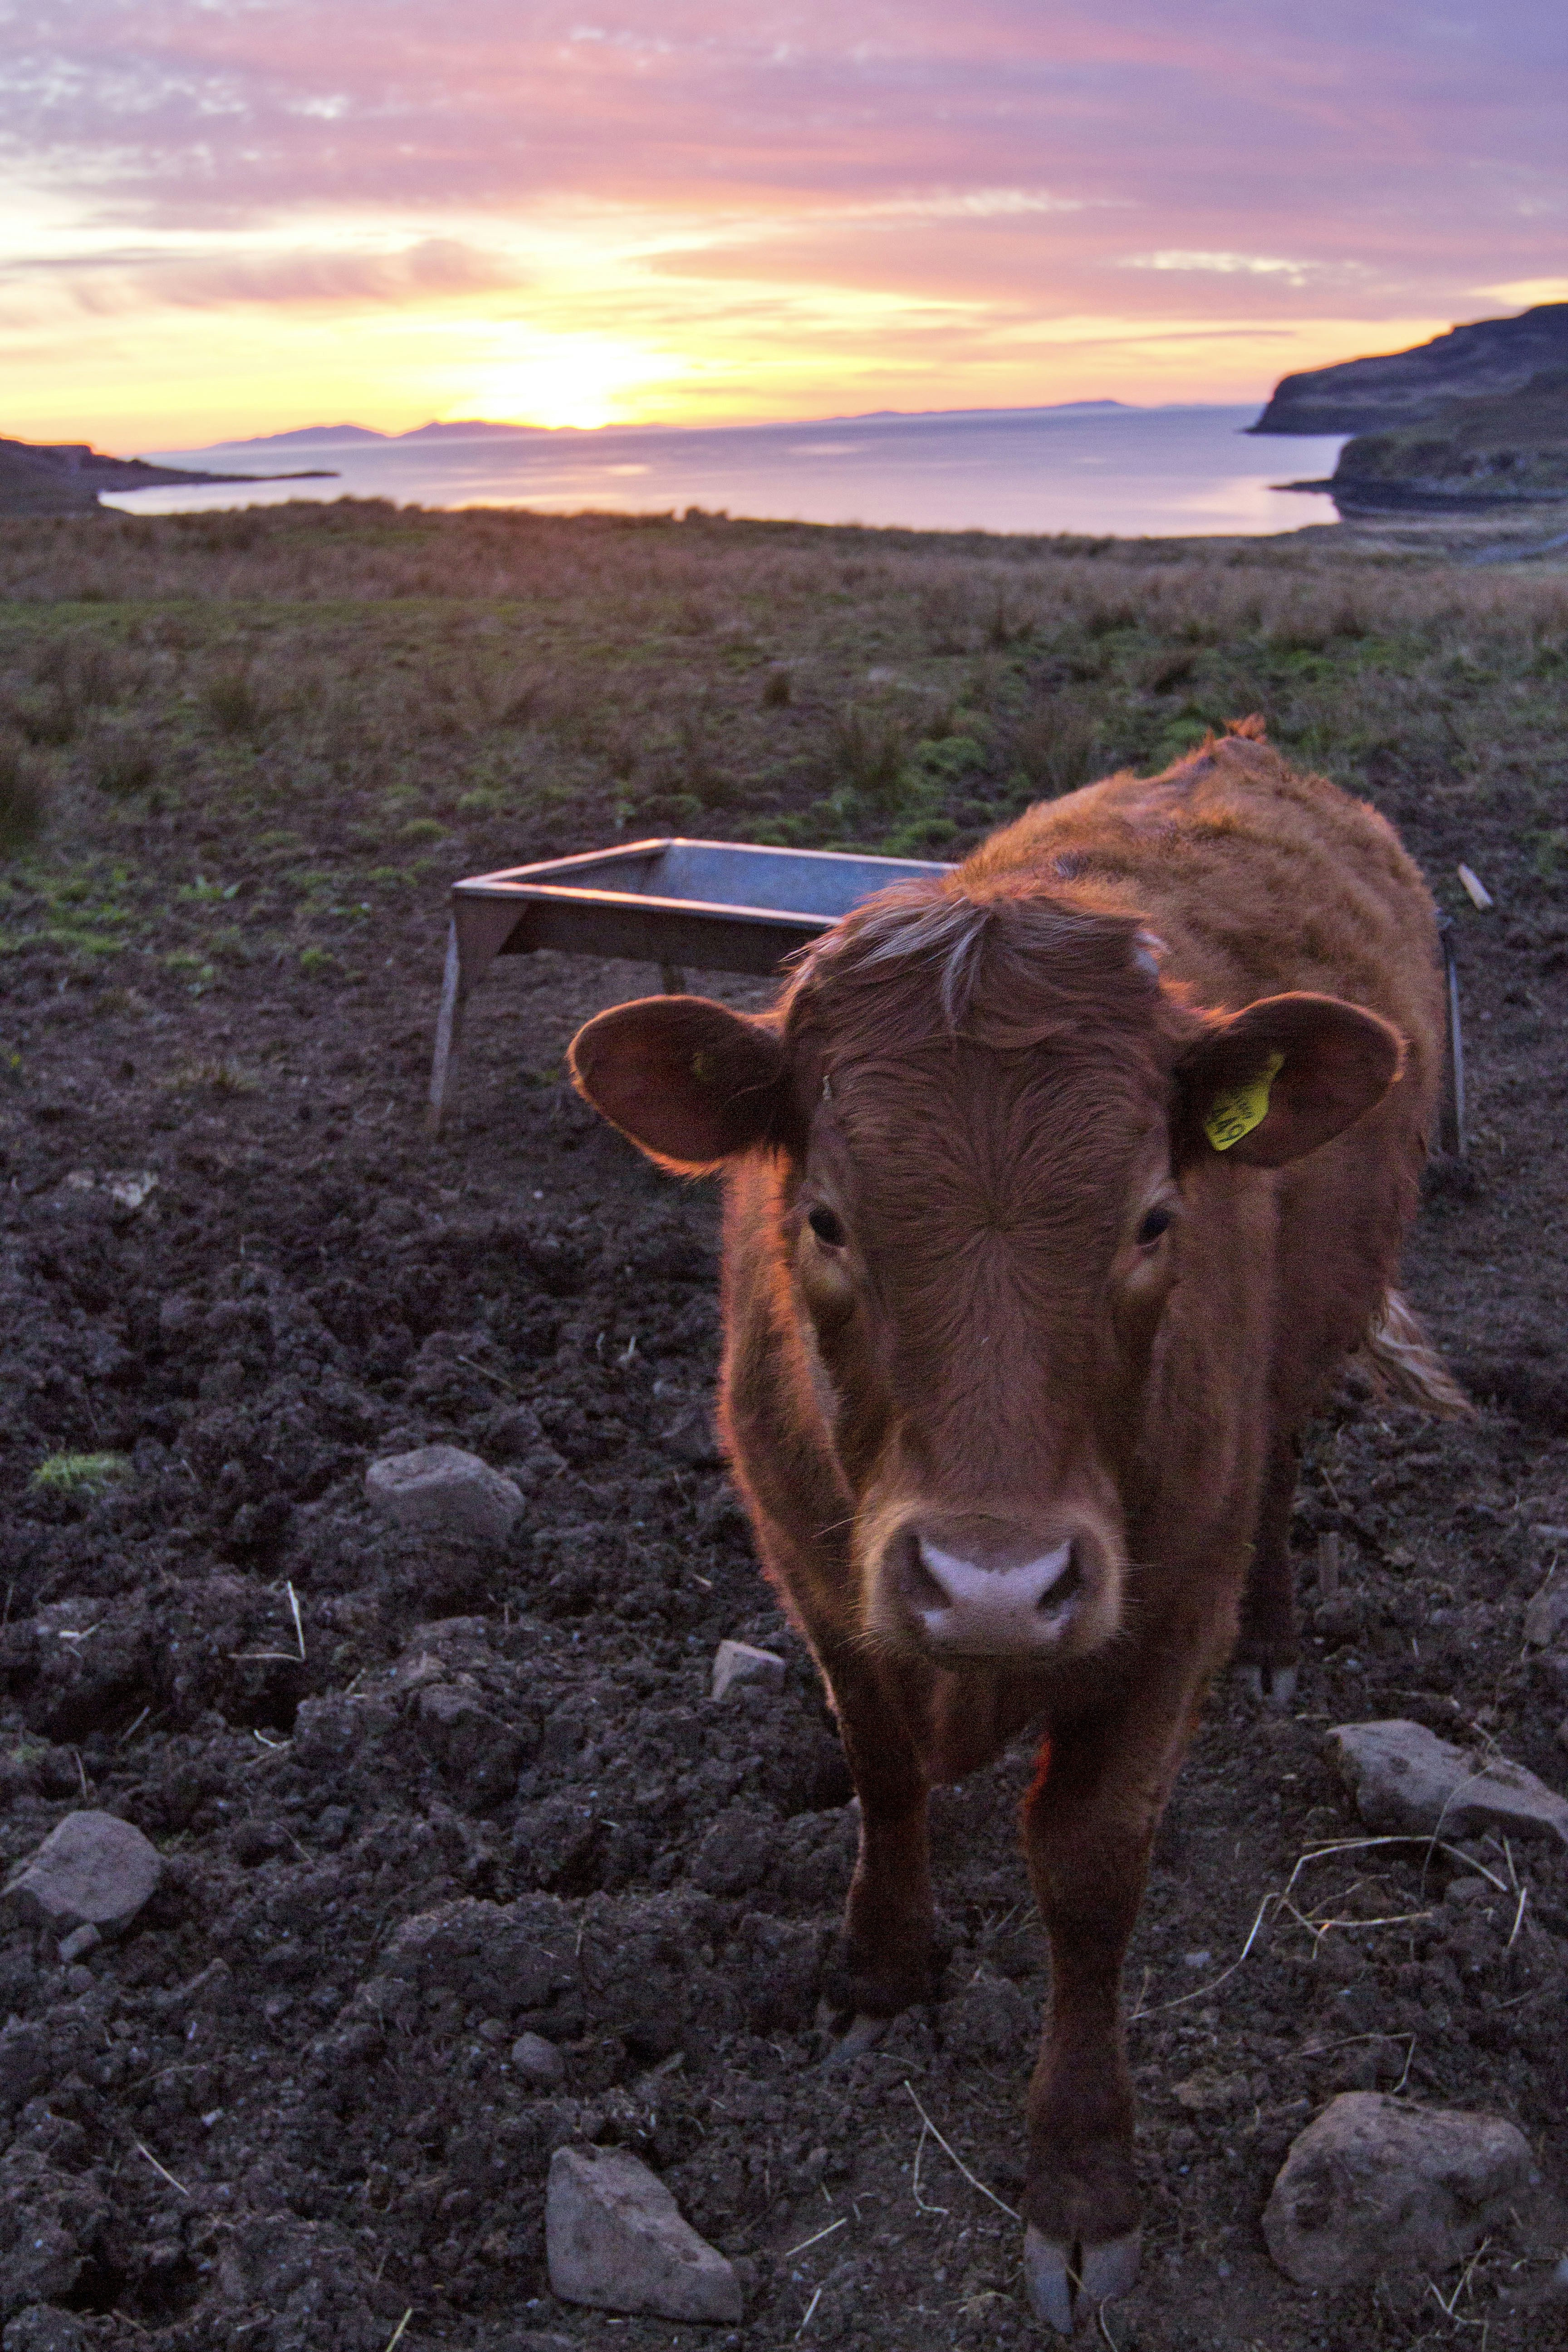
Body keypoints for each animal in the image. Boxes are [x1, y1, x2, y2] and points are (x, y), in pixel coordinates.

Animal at [567, 723, 1462, 2330]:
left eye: (1156, 1218)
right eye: (827, 1219)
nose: (995, 1585)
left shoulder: (1164, 1607)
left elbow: (1089, 1869)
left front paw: (1081, 2178)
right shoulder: (819, 1569)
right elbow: (881, 1773)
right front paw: (881, 1971)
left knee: (1286, 1467)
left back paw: (1281, 1639)